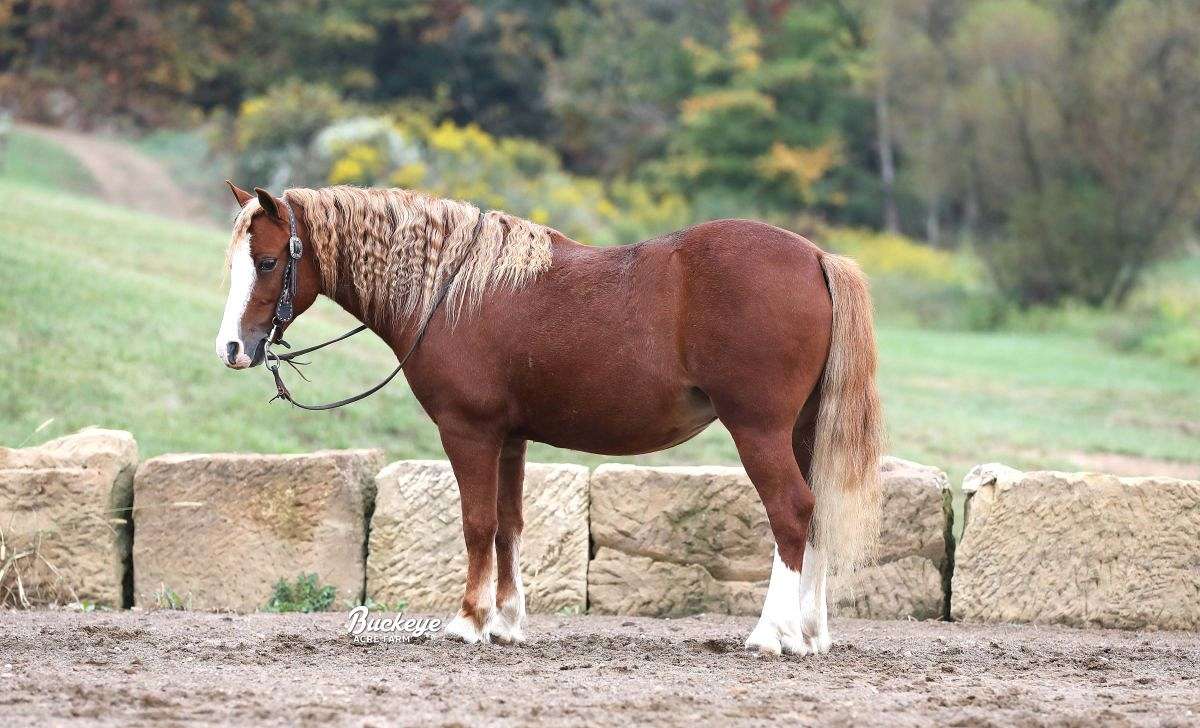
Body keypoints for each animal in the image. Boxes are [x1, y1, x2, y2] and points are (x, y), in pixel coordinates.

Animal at [216, 182, 883, 655]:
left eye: (269, 262)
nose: (232, 348)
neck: (454, 289)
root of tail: (816, 256)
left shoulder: (469, 433)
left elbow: (477, 523)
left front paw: (469, 621)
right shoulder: (511, 440)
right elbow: (509, 527)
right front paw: (507, 622)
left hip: (758, 431)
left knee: (791, 513)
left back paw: (773, 634)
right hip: (799, 434)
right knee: (816, 514)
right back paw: (811, 633)